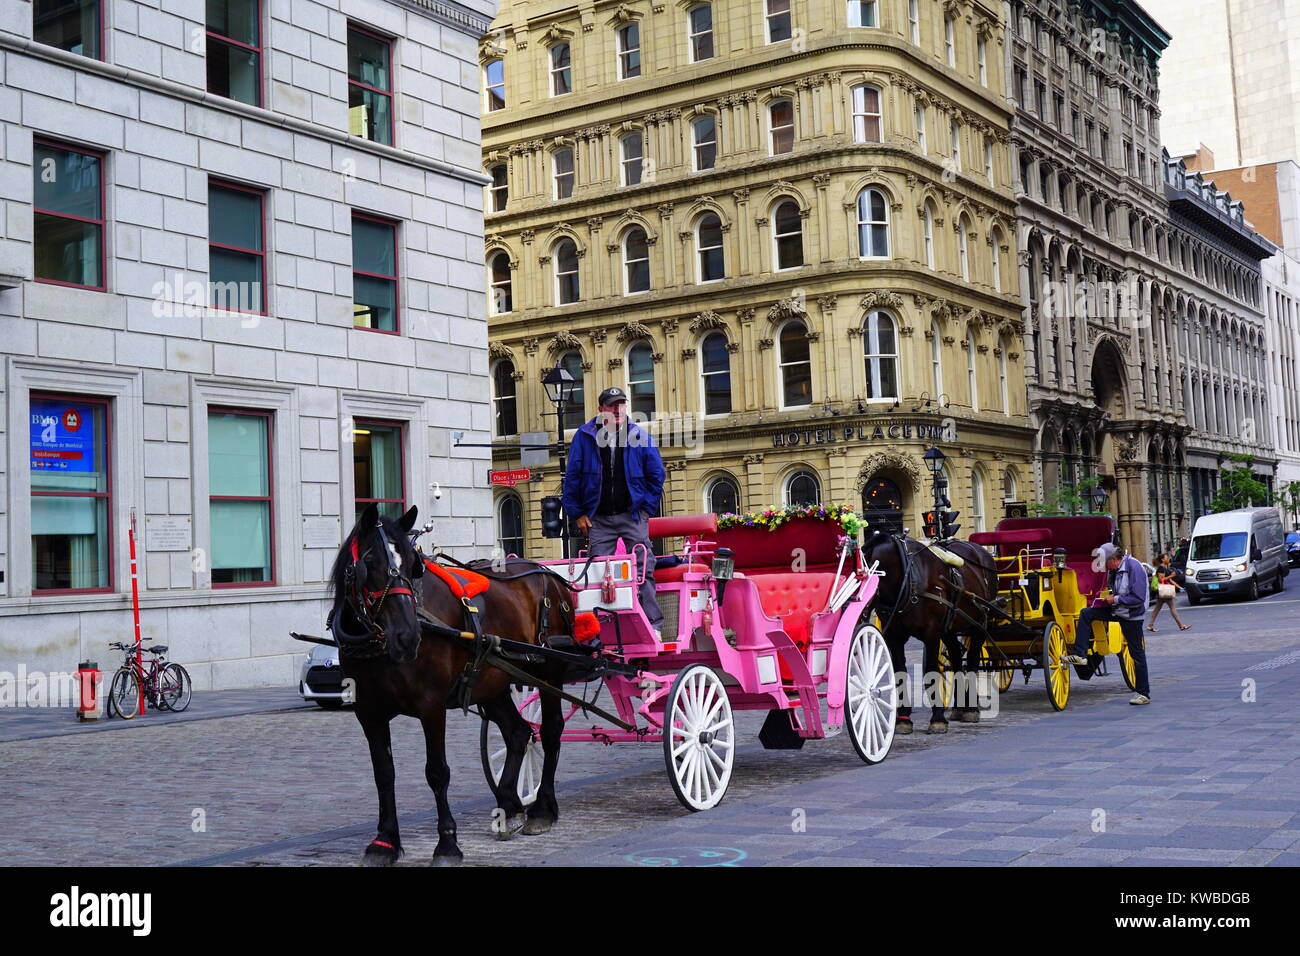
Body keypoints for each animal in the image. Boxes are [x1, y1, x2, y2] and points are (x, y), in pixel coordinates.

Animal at [327, 503, 575, 865]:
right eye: (369, 563)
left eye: (412, 565)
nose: (407, 636)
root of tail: (548, 574)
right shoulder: (369, 713)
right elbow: (383, 774)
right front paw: (385, 841)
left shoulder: (431, 706)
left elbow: (436, 772)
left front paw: (447, 843)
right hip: (494, 680)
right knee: (518, 733)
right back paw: (508, 806)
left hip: (548, 673)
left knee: (552, 729)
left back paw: (542, 808)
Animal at [861, 529, 999, 733]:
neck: (908, 579)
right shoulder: (894, 636)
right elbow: (899, 672)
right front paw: (903, 719)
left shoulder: (931, 633)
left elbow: (931, 671)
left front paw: (938, 718)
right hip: (949, 629)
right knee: (956, 659)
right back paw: (960, 707)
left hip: (980, 623)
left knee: (973, 660)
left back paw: (971, 708)